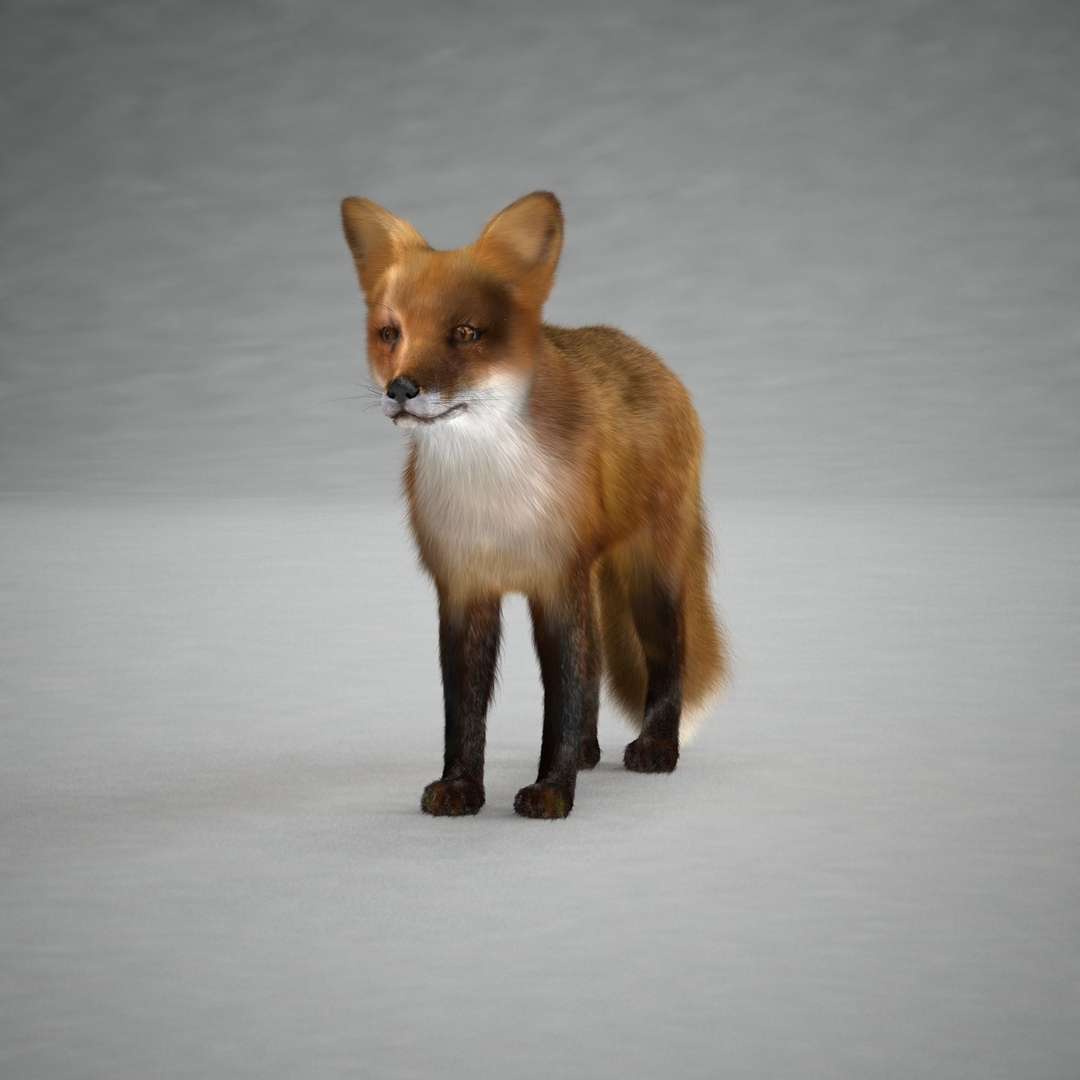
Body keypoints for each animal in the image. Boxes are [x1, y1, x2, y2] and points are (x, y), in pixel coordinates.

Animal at [341, 191, 727, 819]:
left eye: (465, 333)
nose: (400, 389)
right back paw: (591, 752)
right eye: (390, 333)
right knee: (596, 664)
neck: (494, 501)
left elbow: (560, 703)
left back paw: (656, 748)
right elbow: (464, 712)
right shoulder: (464, 588)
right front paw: (460, 788)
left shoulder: (554, 581)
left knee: (667, 655)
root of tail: (644, 353)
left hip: (650, 576)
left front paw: (552, 791)